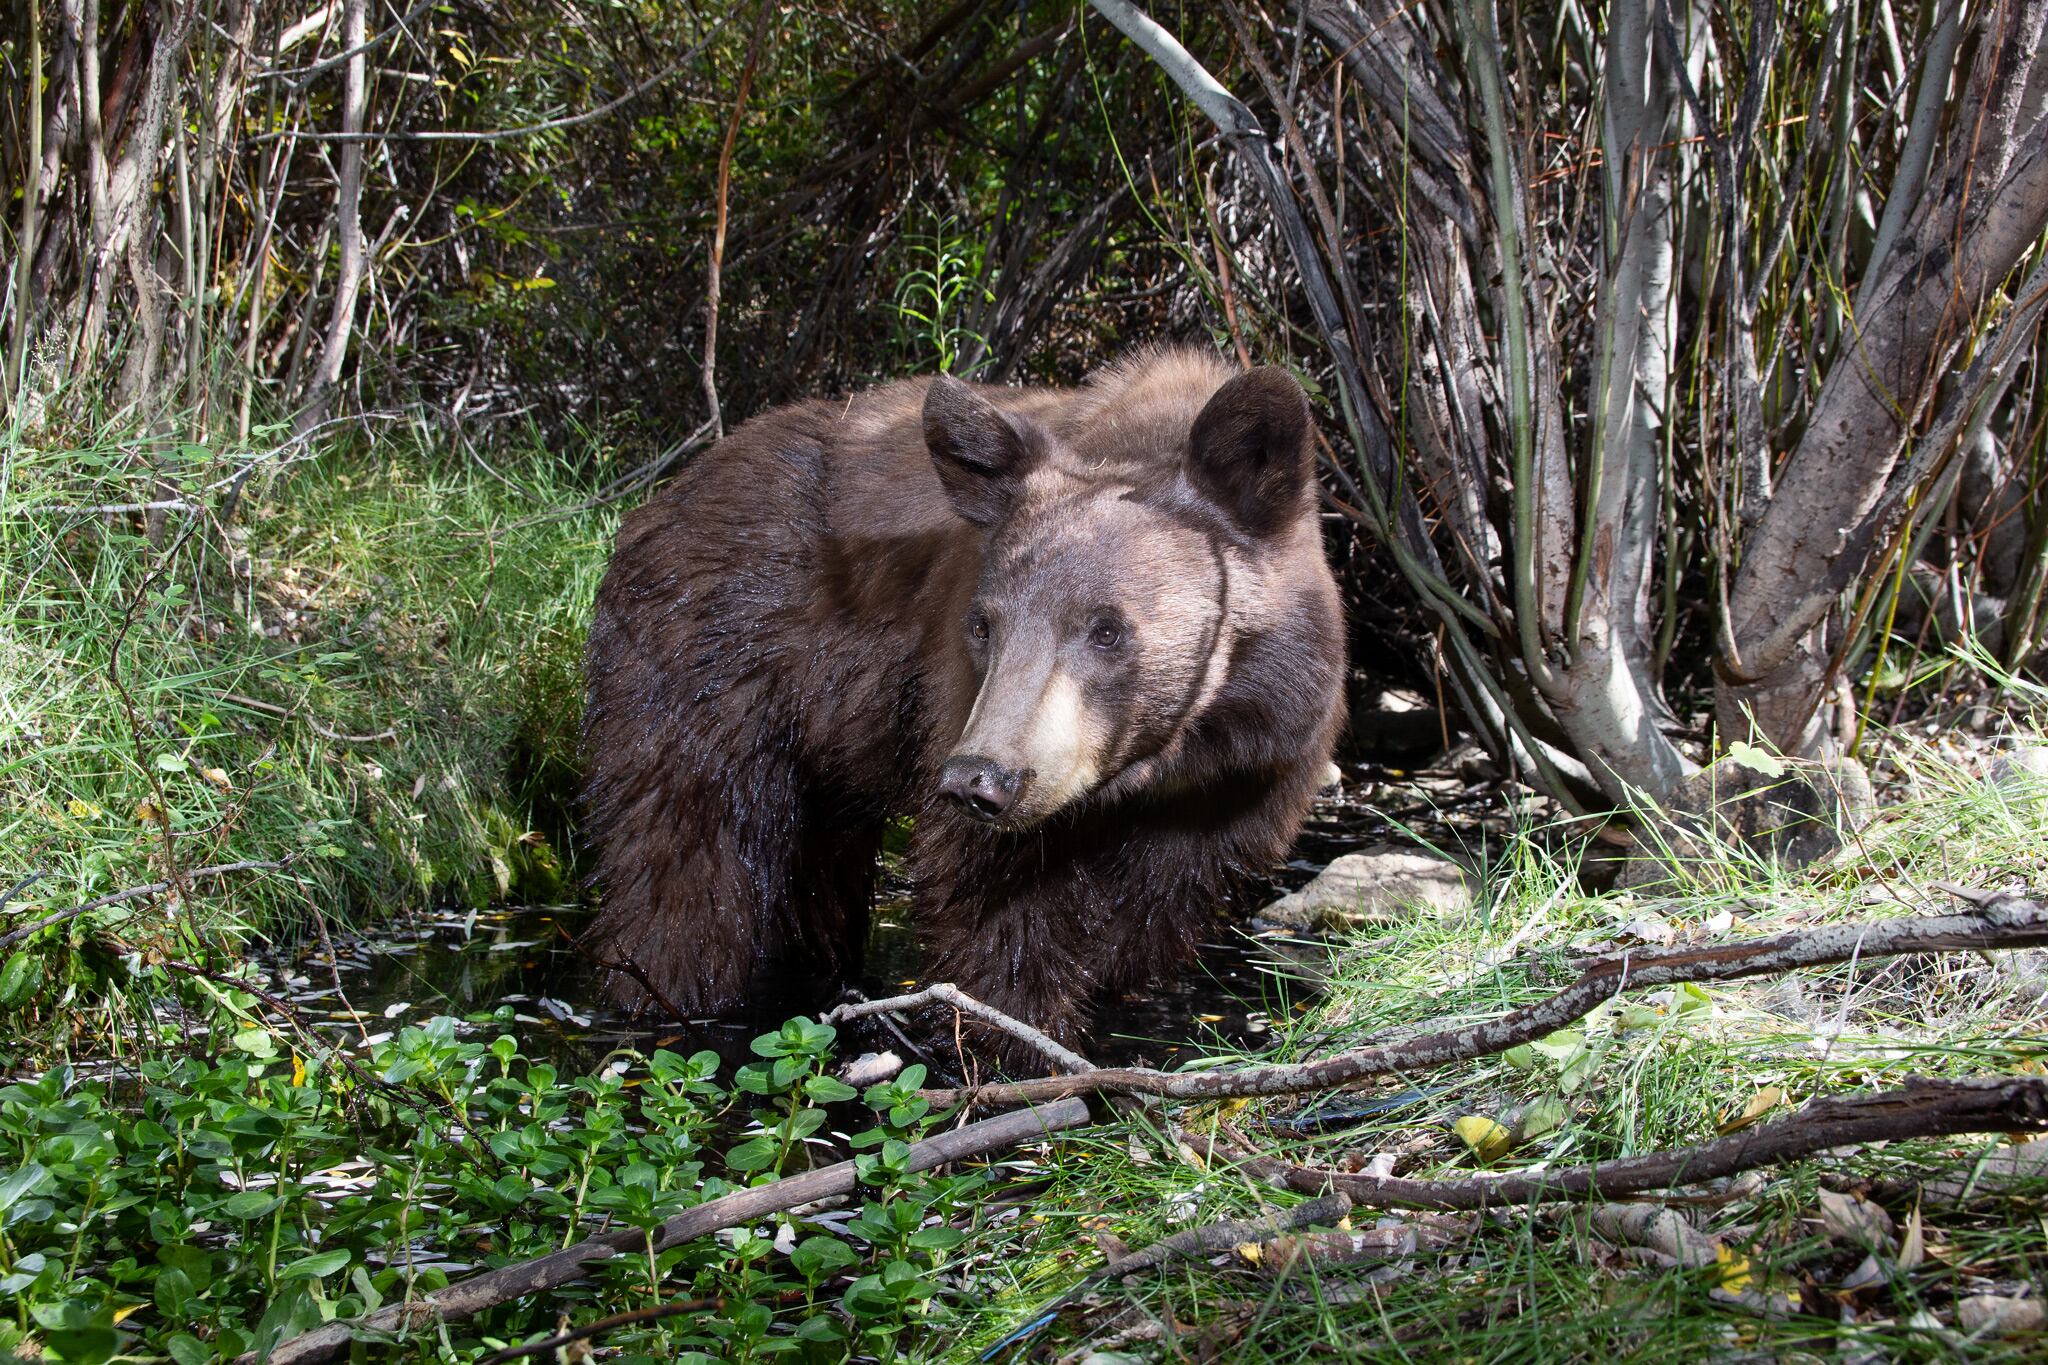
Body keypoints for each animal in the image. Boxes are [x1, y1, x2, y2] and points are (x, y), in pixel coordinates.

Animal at [579, 347, 1346, 1059]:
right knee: (692, 854)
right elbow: (992, 898)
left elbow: (1156, 908)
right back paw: (674, 993)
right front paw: (1018, 1035)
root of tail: (662, 497)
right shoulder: (955, 696)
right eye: (983, 624)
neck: (1171, 758)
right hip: (708, 665)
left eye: (1107, 628)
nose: (981, 779)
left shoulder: (1241, 784)